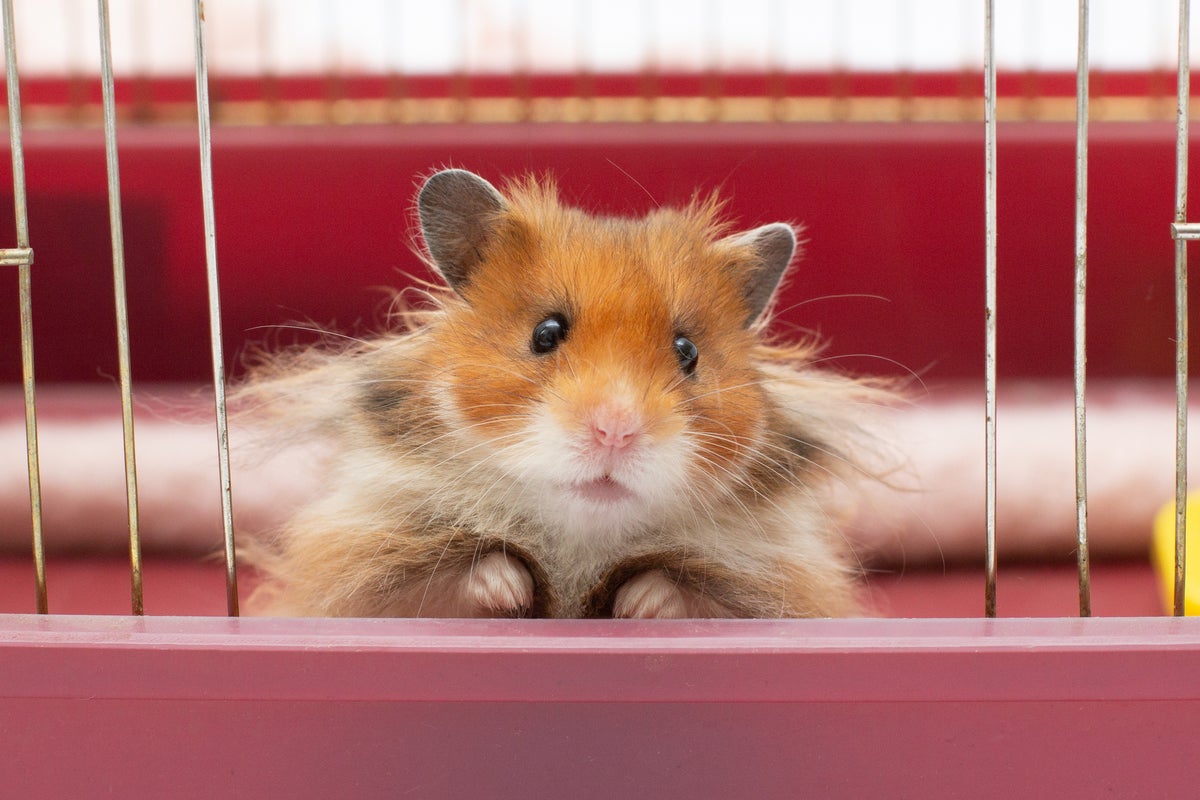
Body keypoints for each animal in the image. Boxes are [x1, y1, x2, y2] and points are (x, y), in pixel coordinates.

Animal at [238, 168, 886, 619]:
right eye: (545, 333)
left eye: (689, 353)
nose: (616, 430)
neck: (579, 542)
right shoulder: (362, 568)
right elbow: (458, 580)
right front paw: (504, 587)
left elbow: (683, 593)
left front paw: (641, 604)